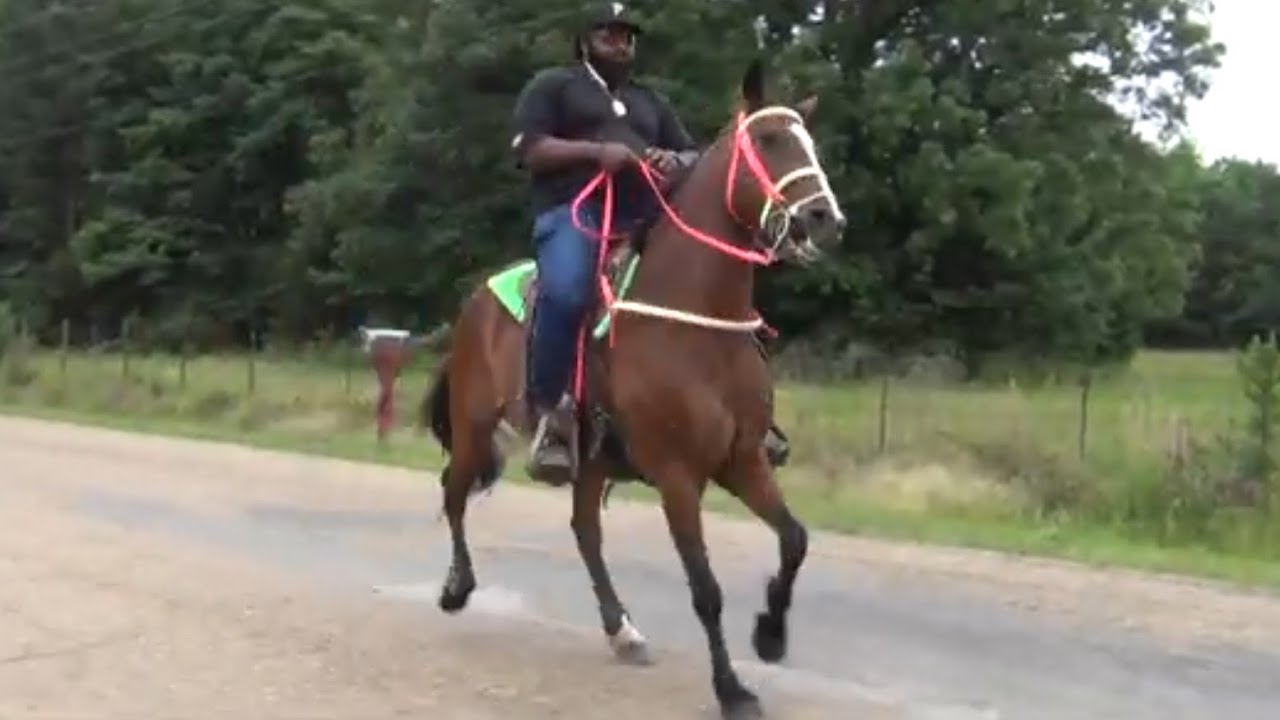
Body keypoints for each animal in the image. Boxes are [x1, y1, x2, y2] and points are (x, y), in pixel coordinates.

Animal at [419, 58, 846, 720]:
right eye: (772, 139)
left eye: (810, 142)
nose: (826, 218)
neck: (695, 321)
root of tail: (476, 300)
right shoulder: (676, 473)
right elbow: (705, 589)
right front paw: (733, 690)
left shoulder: (743, 459)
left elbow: (795, 540)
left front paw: (770, 635)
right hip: (472, 426)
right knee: (454, 491)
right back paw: (456, 587)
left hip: (589, 459)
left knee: (585, 533)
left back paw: (622, 630)